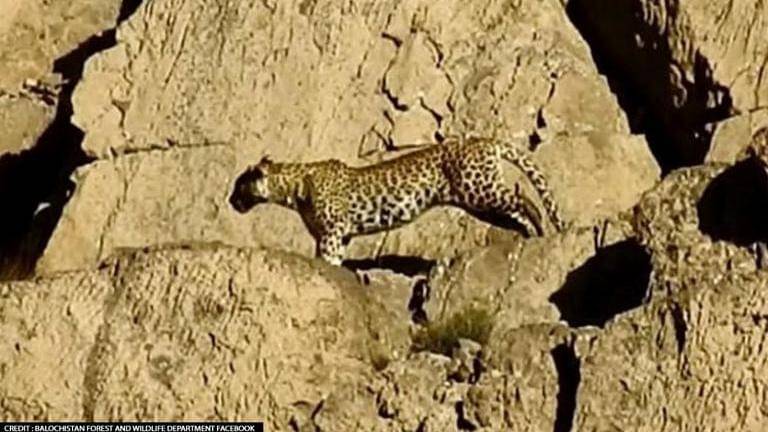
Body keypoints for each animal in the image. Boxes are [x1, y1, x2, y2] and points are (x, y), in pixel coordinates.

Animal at [229, 136, 566, 266]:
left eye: (238, 186)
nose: (230, 201)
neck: (293, 187)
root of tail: (485, 140)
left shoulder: (333, 231)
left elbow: (327, 257)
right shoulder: (342, 234)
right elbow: (335, 258)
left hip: (479, 188)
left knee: (523, 198)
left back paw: (538, 225)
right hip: (480, 202)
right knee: (515, 212)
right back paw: (531, 234)